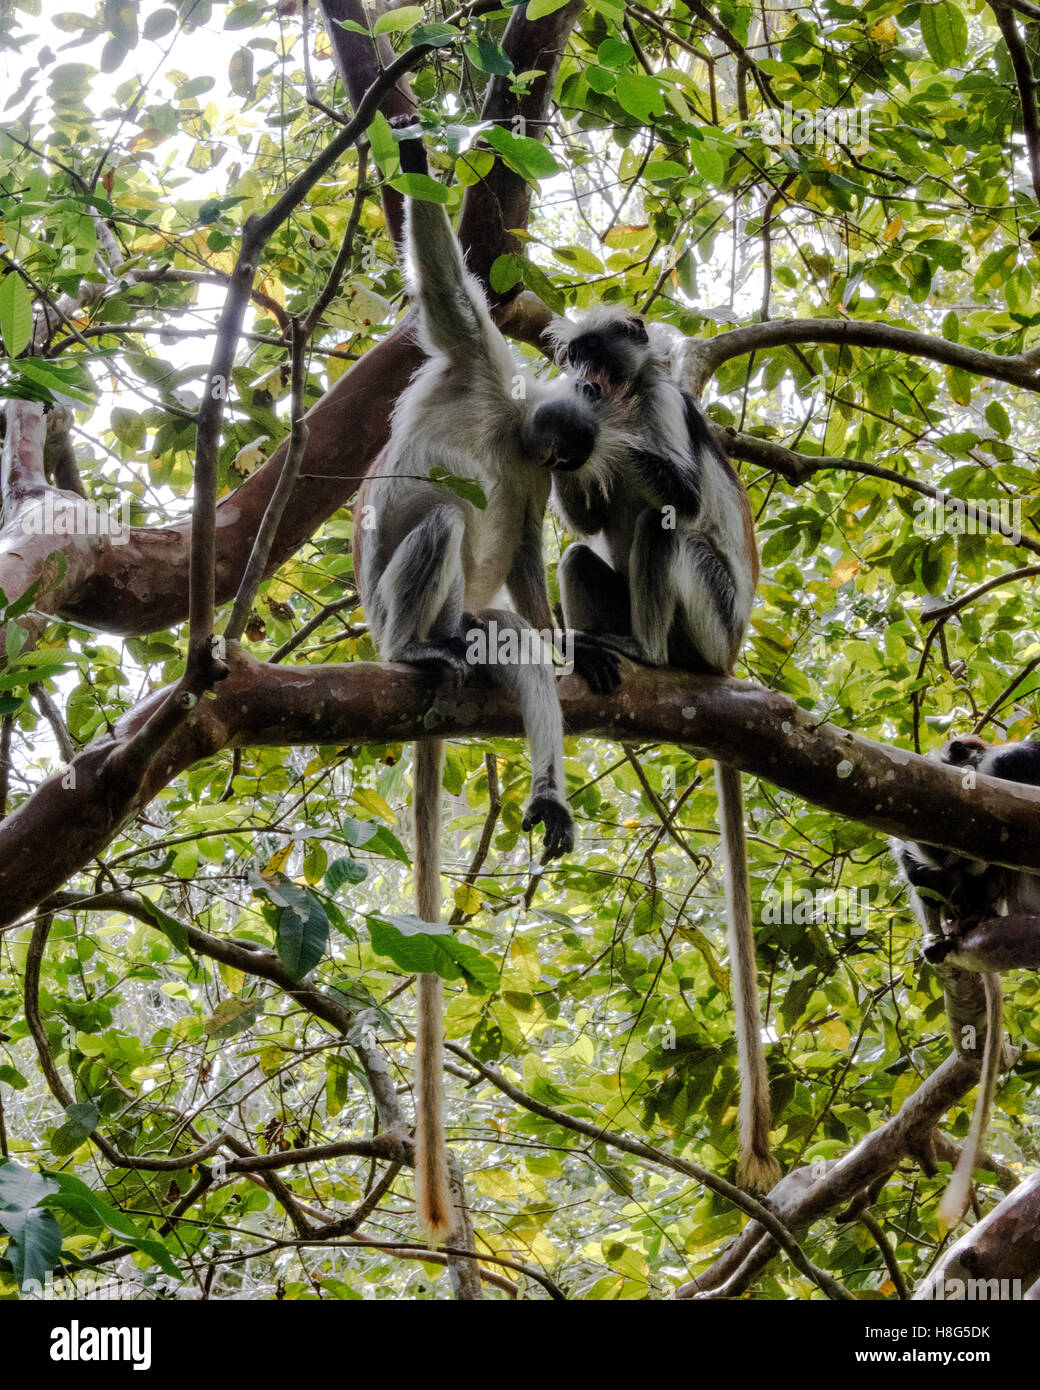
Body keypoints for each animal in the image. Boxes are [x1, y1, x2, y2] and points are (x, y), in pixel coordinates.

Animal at [544, 305, 781, 1192]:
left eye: (599, 355)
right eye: (572, 353)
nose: (581, 377)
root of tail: (727, 659)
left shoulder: (665, 410)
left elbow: (678, 491)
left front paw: (599, 427)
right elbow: (582, 522)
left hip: (709, 614)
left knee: (664, 524)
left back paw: (644, 650)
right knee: (580, 553)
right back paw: (592, 651)